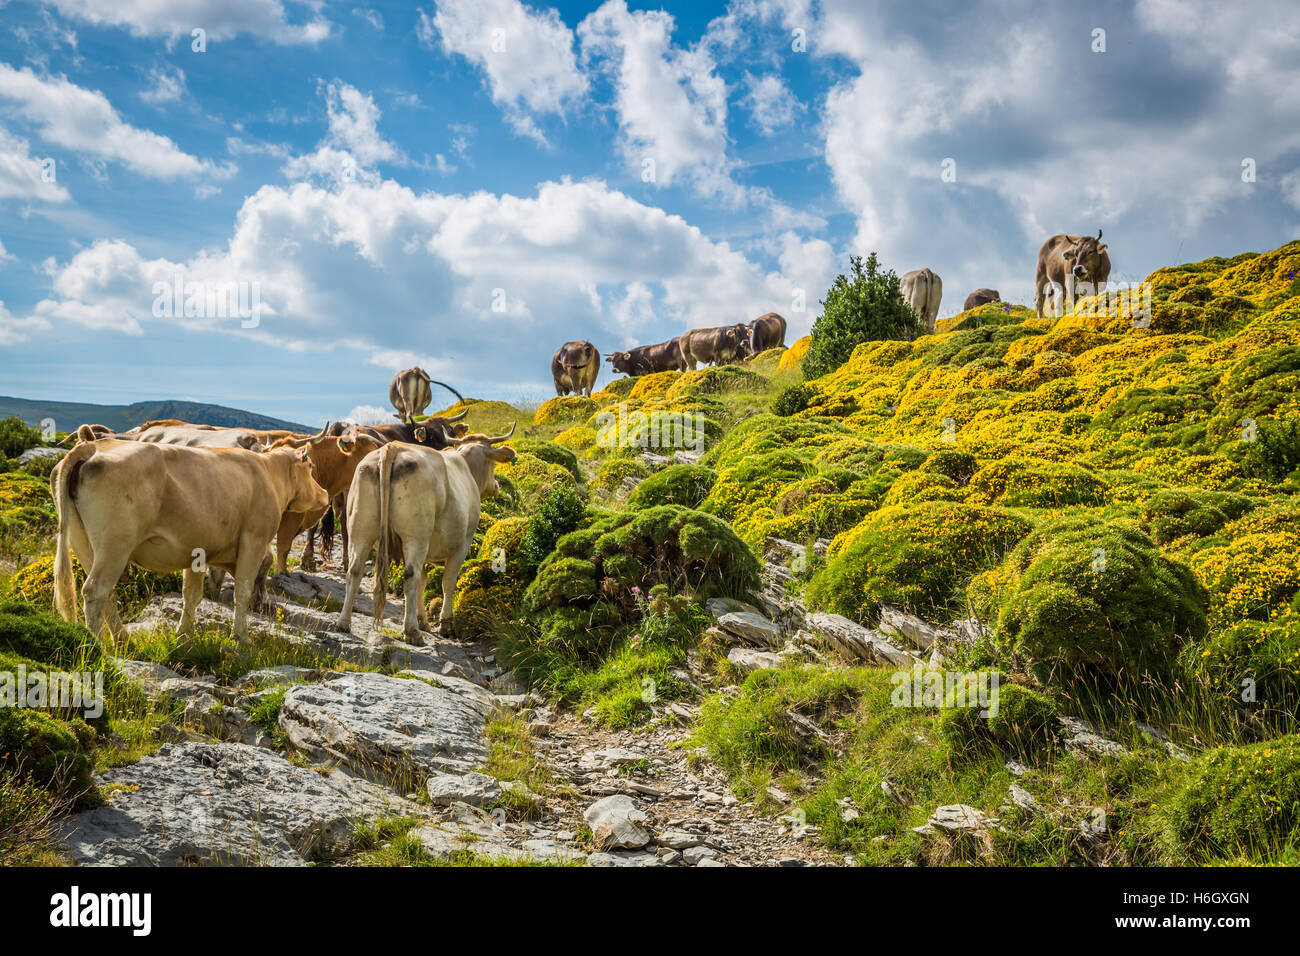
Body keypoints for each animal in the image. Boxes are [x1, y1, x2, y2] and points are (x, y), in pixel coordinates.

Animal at [52, 438, 328, 639]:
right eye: (311, 467)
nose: (324, 493)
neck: (269, 474)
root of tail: (93, 446)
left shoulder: (198, 550)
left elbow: (191, 595)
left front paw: (184, 634)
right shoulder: (254, 540)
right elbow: (242, 592)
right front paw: (241, 638)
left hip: (82, 543)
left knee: (105, 595)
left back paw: (123, 640)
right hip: (115, 546)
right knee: (95, 591)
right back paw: (100, 648)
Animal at [336, 424, 518, 640]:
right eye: (492, 465)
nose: (496, 485)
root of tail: (391, 448)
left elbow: (423, 581)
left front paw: (423, 621)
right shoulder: (462, 546)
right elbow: (448, 582)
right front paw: (445, 625)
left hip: (360, 530)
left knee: (355, 571)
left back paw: (343, 624)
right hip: (416, 535)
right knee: (410, 576)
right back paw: (412, 632)